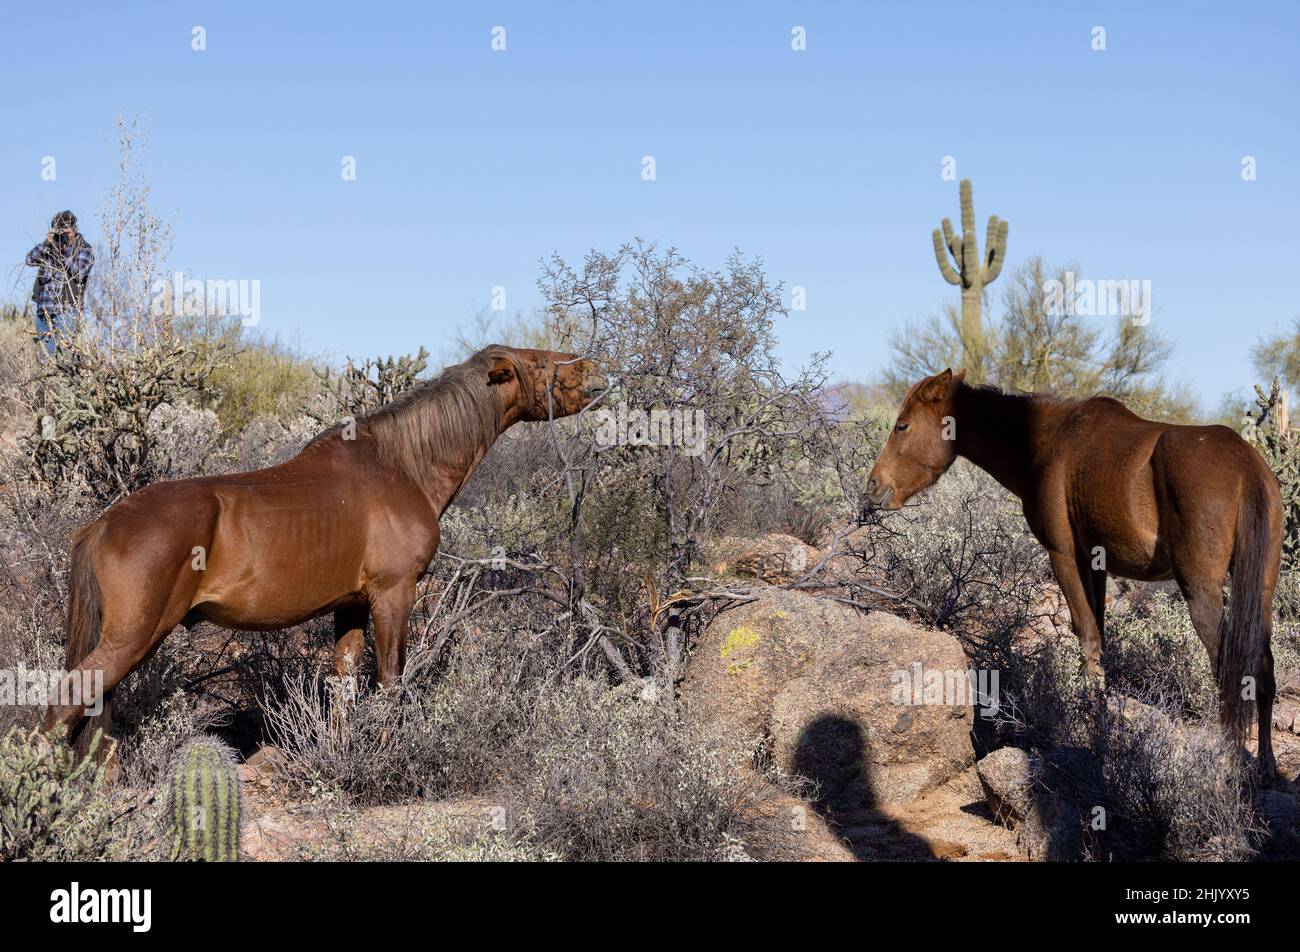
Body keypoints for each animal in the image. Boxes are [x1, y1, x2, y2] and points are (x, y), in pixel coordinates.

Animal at [42, 345, 606, 746]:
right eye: (540, 364)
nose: (597, 371)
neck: (402, 464)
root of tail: (102, 524)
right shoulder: (394, 595)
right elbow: (390, 680)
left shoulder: (350, 607)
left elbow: (344, 689)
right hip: (132, 637)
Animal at [863, 369, 1283, 778]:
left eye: (902, 425)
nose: (873, 485)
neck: (1042, 441)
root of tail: (1246, 464)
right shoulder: (1096, 566)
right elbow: (1100, 645)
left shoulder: (1064, 556)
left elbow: (1087, 641)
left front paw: (1094, 735)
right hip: (1261, 592)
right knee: (1263, 669)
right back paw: (1266, 766)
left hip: (1201, 591)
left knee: (1229, 671)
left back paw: (1230, 762)